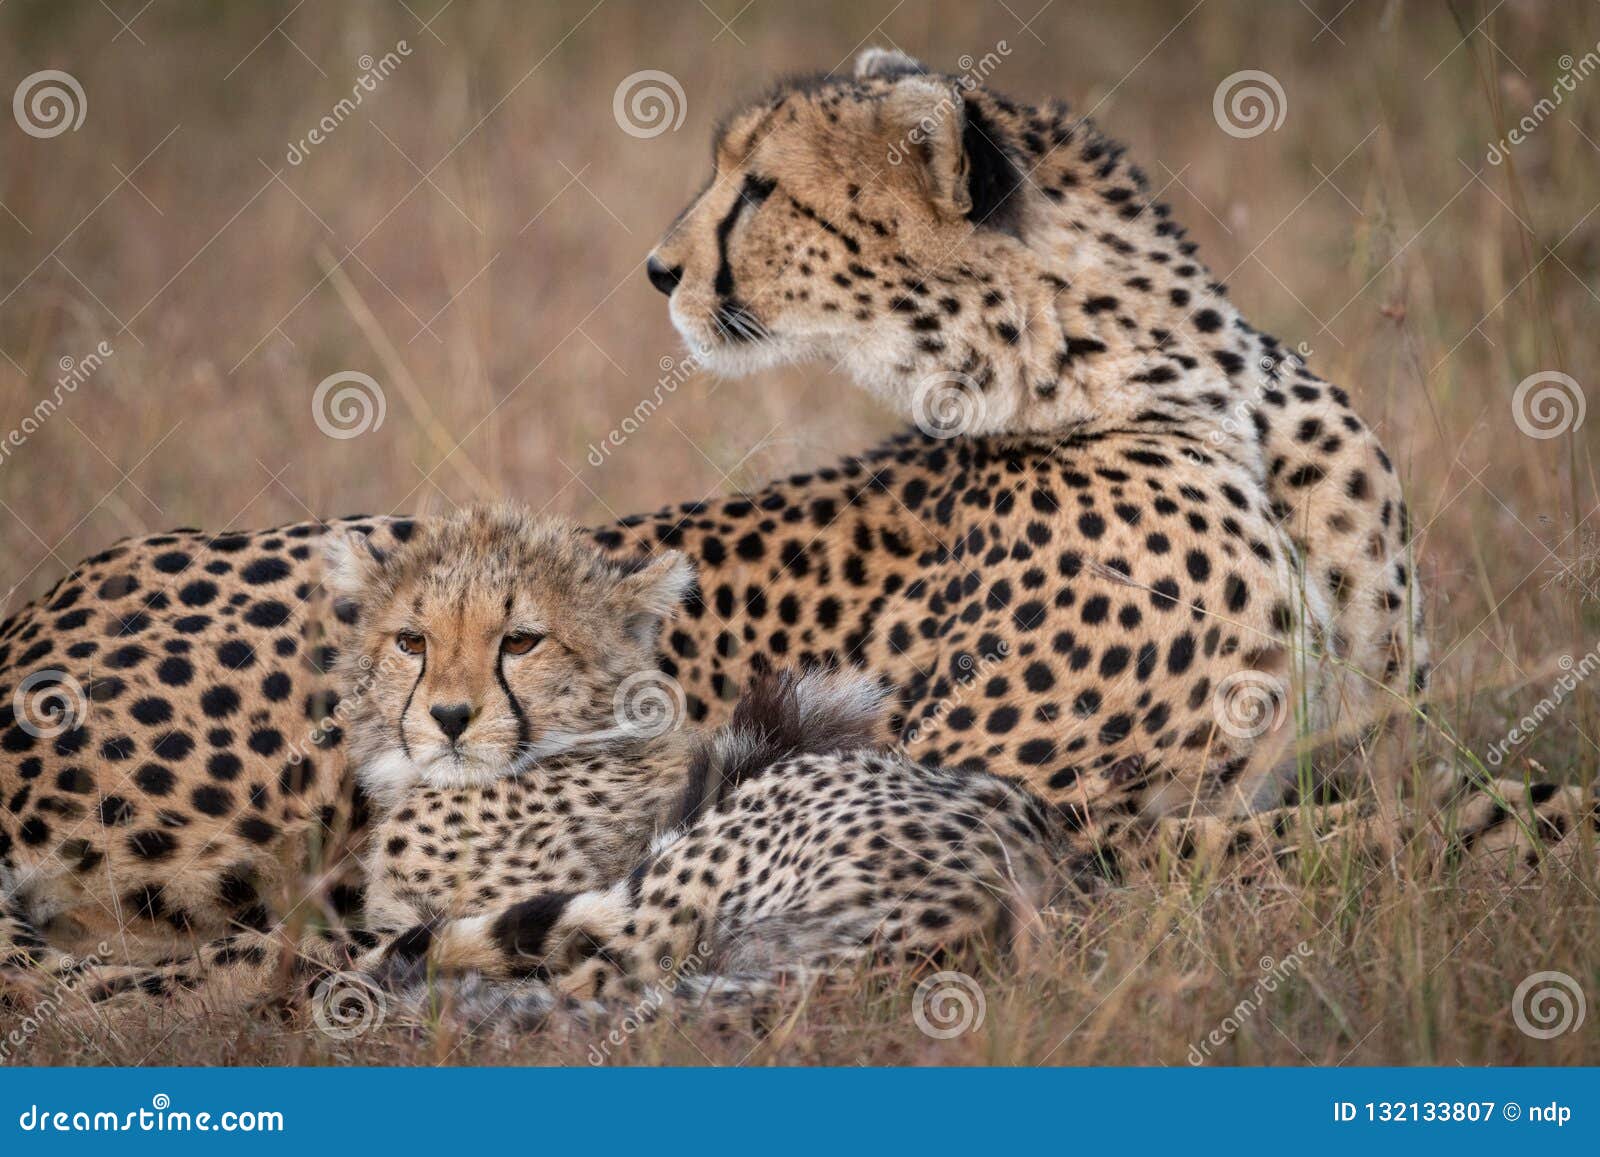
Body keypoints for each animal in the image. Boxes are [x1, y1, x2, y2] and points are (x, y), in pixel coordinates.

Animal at [1, 49, 1594, 996]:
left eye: (761, 188)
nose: (657, 268)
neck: (1178, 384)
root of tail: (41, 609)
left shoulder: (1343, 741)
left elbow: (1439, 790)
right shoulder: (1033, 813)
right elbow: (1406, 823)